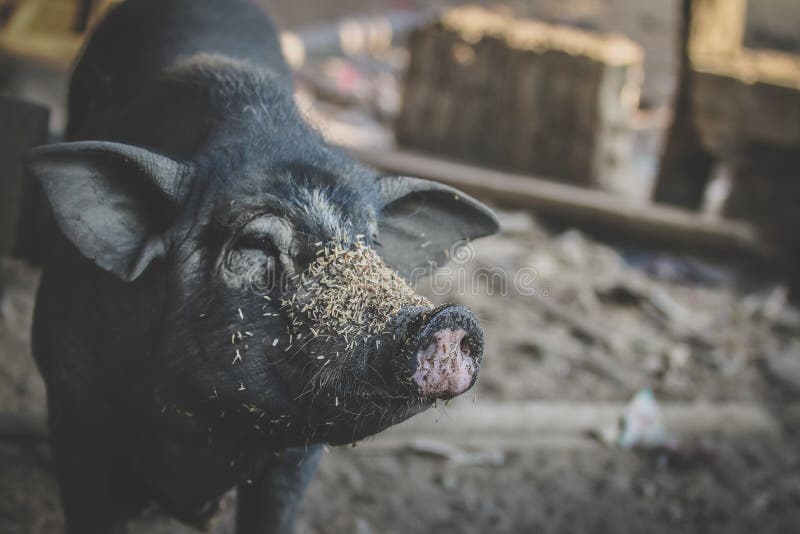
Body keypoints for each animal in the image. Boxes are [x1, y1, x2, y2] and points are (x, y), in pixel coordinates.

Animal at [22, 0, 498, 532]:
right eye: (257, 244)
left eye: (370, 243)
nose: (448, 317)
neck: (207, 426)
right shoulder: (71, 405)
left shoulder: (298, 453)